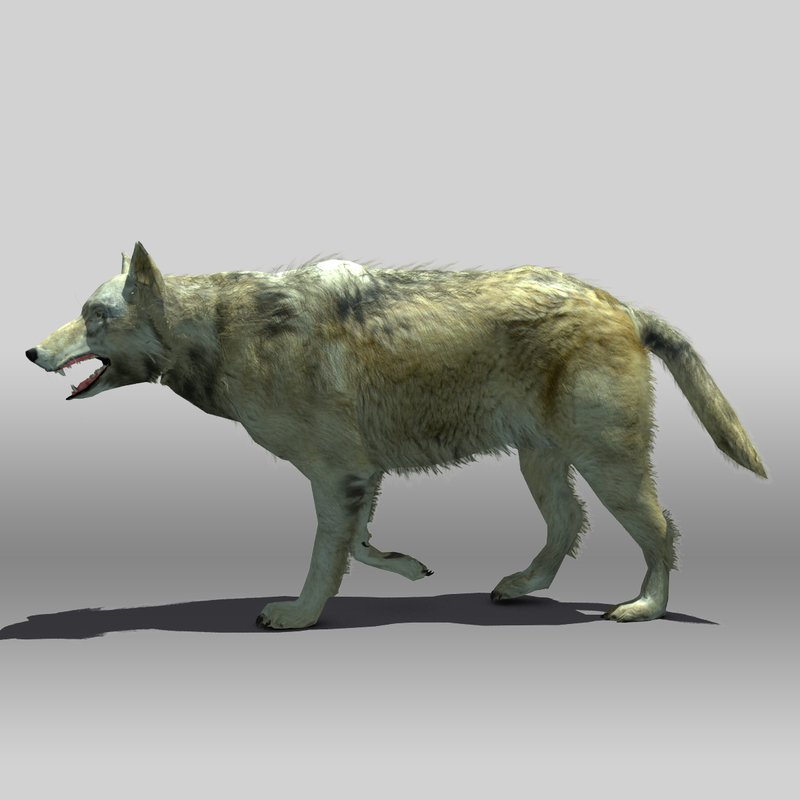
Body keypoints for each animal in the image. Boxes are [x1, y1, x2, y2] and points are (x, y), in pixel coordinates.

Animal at [26, 243, 767, 628]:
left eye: (93, 316)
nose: (30, 352)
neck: (222, 332)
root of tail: (624, 305)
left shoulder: (338, 475)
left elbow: (326, 557)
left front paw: (299, 614)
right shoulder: (360, 474)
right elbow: (358, 544)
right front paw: (407, 566)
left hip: (608, 466)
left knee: (661, 529)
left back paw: (645, 606)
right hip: (543, 463)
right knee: (569, 522)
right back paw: (522, 585)